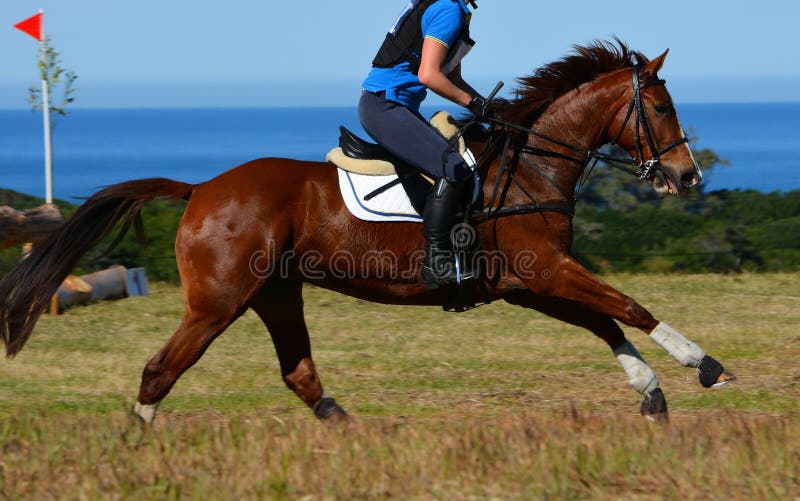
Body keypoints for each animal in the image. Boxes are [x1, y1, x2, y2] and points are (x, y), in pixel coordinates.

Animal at [0, 41, 735, 424]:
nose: (687, 175)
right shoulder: (547, 272)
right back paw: (138, 447)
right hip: (218, 301)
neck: (530, 165)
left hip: (276, 293)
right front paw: (704, 364)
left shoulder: (529, 282)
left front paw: (651, 391)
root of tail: (201, 188)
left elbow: (605, 322)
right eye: (660, 107)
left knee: (299, 374)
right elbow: (629, 307)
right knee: (160, 371)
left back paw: (351, 437)